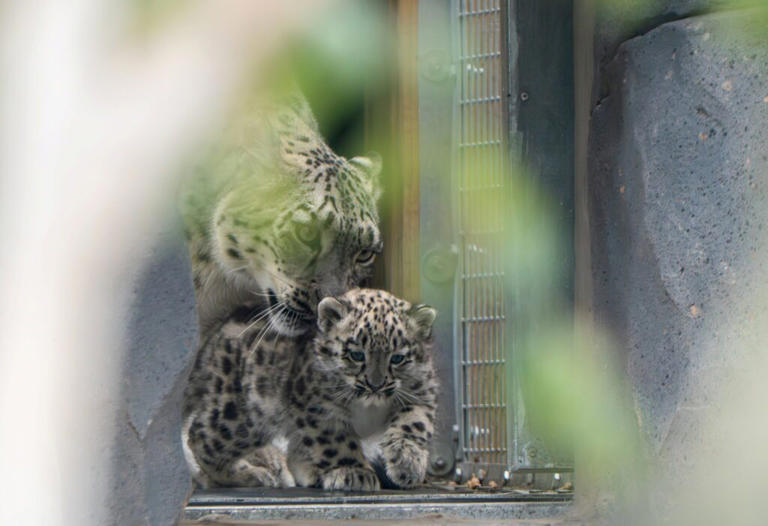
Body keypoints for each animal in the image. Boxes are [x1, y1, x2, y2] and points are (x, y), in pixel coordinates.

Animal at [182, 288, 439, 491]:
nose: (375, 385)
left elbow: (412, 423)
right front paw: (354, 472)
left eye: (397, 358)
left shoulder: (420, 394)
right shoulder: (321, 408)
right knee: (201, 438)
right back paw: (248, 475)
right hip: (241, 417)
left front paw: (408, 462)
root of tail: (214, 337)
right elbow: (336, 442)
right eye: (356, 354)